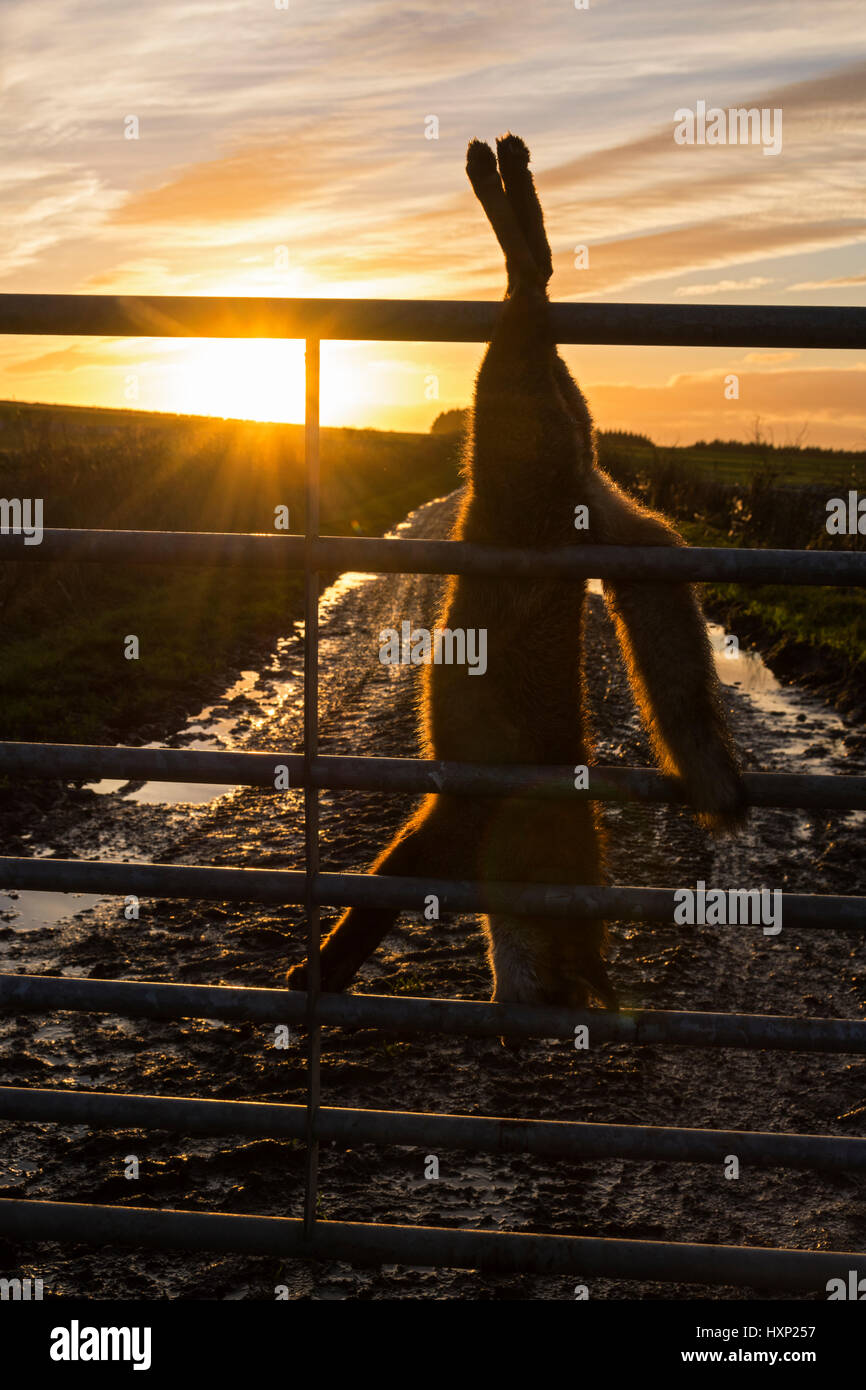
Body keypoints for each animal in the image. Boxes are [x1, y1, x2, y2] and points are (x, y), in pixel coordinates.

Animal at [286, 134, 747, 1010]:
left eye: (558, 993)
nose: (516, 1016)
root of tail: (581, 495)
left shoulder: (442, 820)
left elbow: (375, 899)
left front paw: (323, 969)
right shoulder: (450, 820)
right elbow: (372, 904)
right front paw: (320, 969)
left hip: (522, 415)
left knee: (535, 288)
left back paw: (504, 182)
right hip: (509, 404)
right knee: (531, 286)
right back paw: (503, 188)